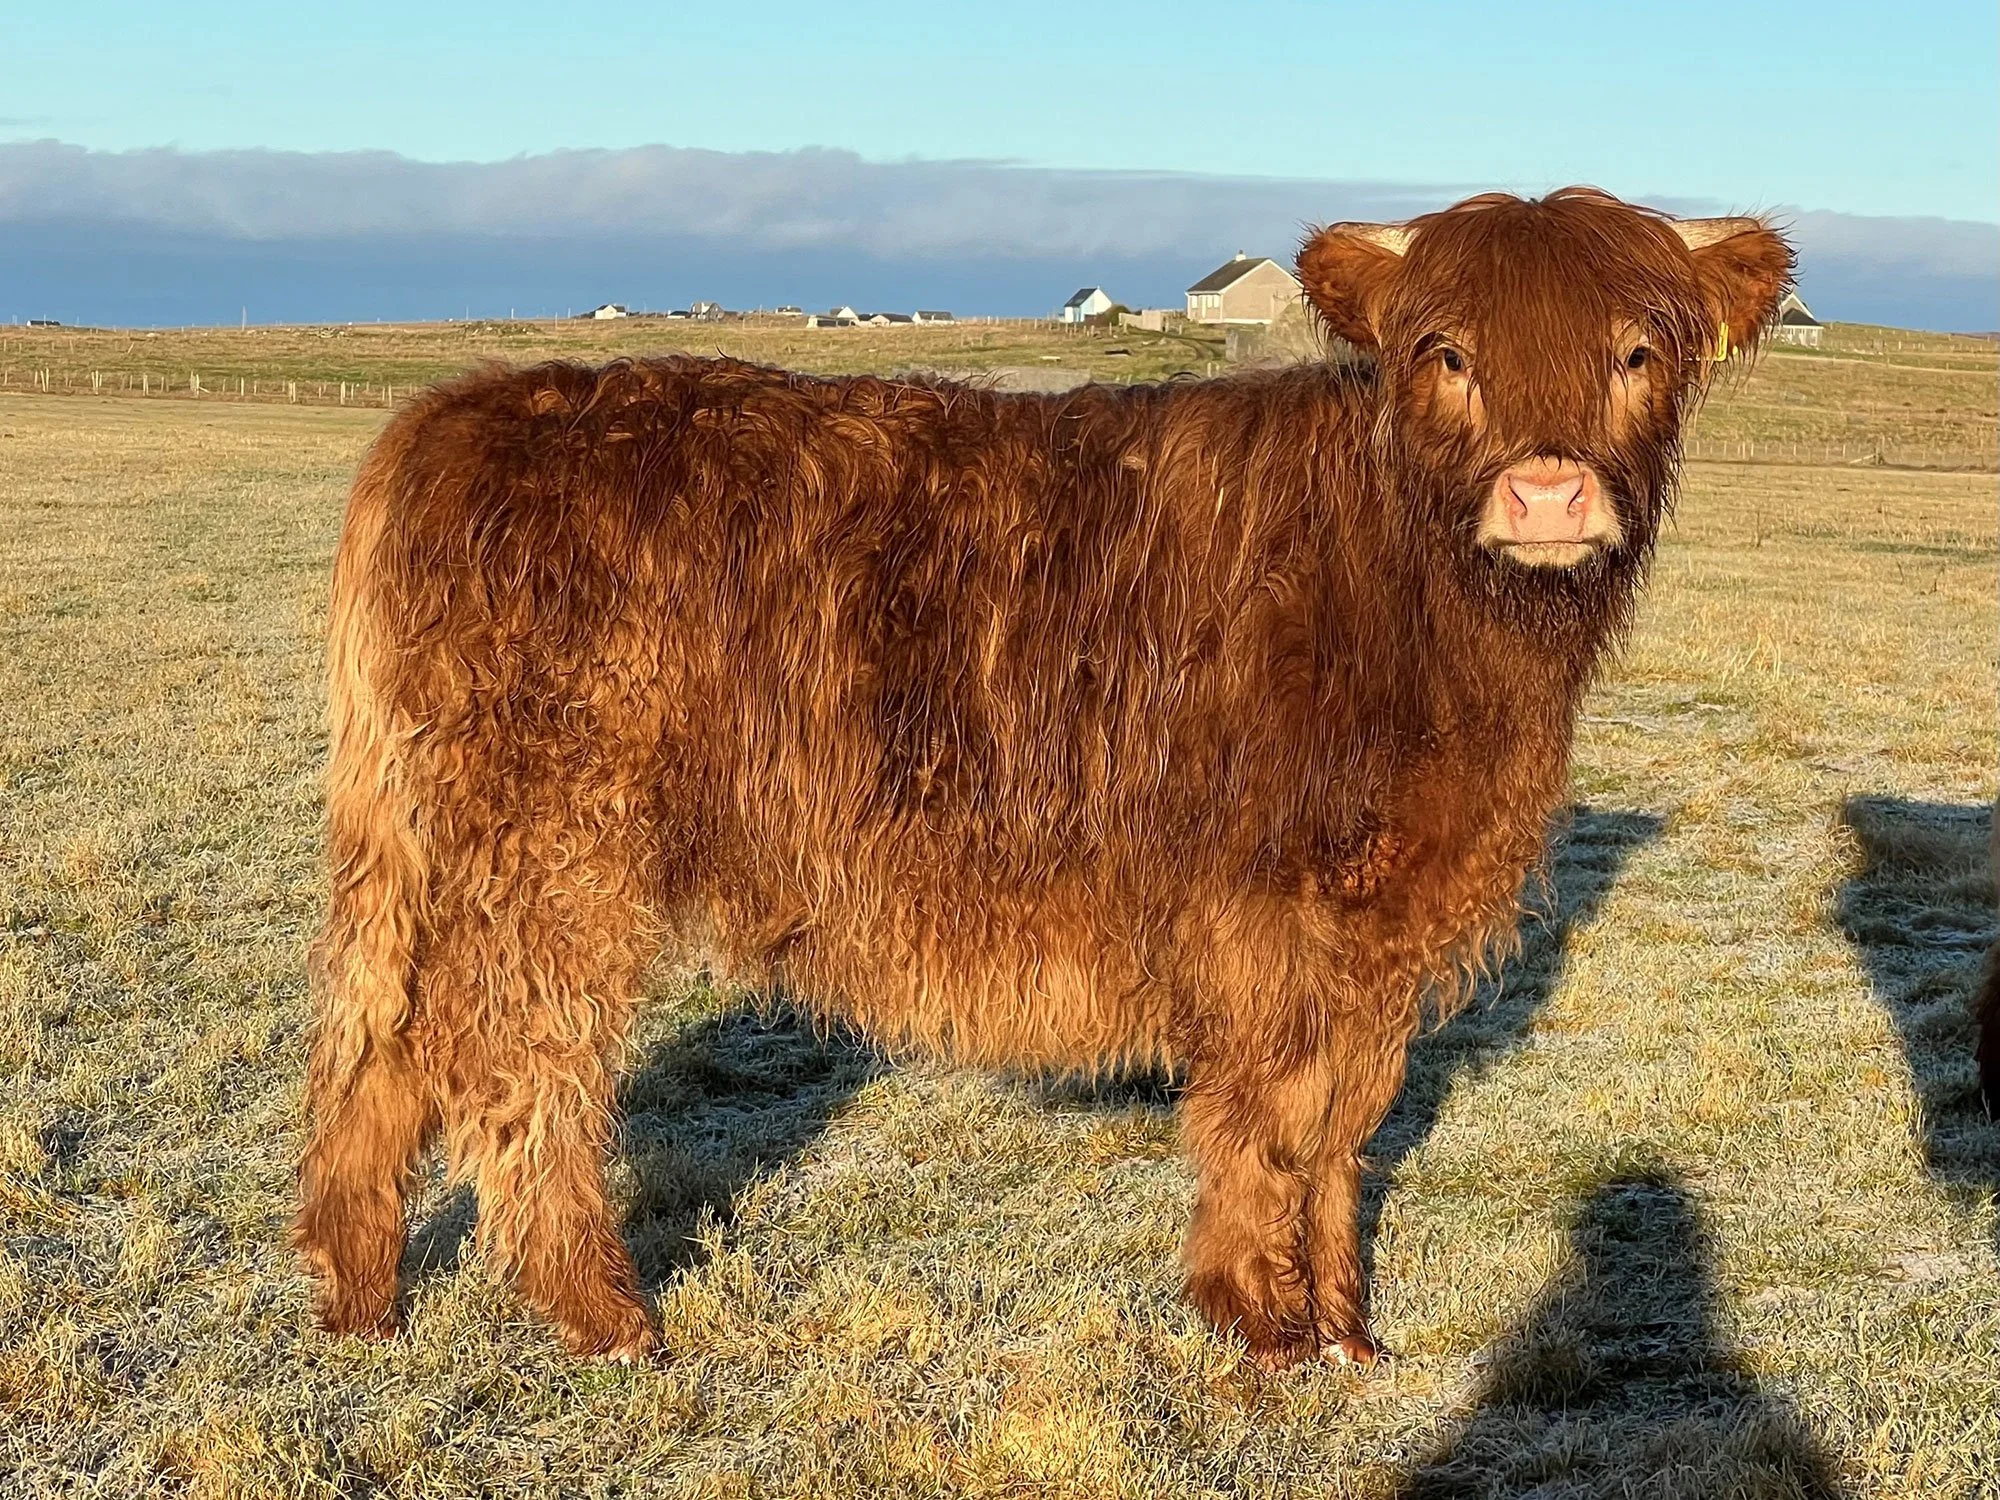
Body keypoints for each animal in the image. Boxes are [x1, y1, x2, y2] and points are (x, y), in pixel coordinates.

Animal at [293, 187, 1793, 1369]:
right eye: (1447, 354)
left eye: (1636, 352)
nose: (1548, 496)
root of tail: (466, 411)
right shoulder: (1260, 913)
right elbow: (1267, 1114)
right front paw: (1262, 1320)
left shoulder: (1382, 933)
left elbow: (1341, 1126)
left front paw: (1345, 1328)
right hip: (558, 845)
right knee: (517, 1057)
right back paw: (603, 1316)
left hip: (442, 842)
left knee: (384, 1044)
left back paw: (360, 1297)